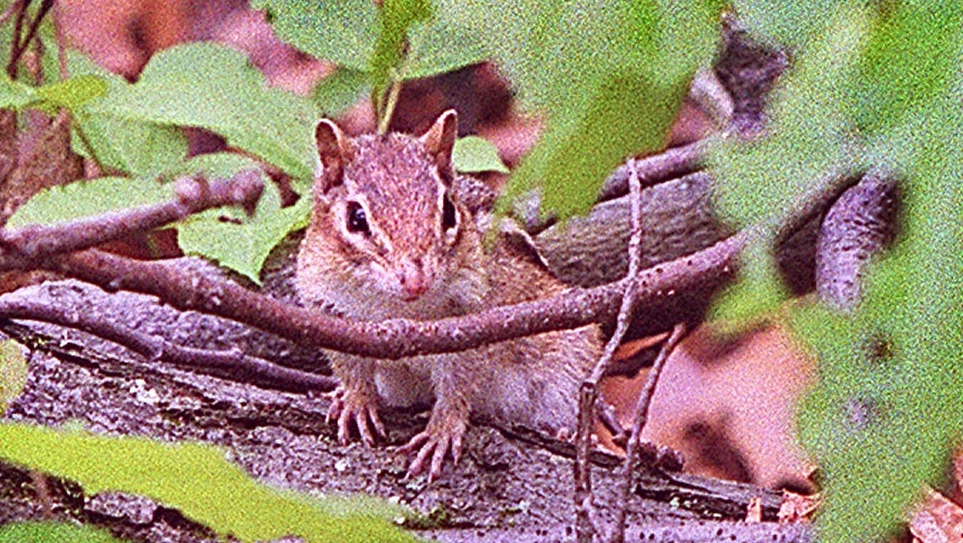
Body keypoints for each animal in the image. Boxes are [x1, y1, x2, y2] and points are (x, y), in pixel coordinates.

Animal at [295, 110, 602, 480]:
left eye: (449, 211)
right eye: (356, 218)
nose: (415, 280)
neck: (391, 306)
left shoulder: (471, 321)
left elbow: (458, 385)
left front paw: (441, 430)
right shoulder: (328, 308)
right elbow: (350, 368)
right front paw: (355, 400)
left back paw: (567, 433)